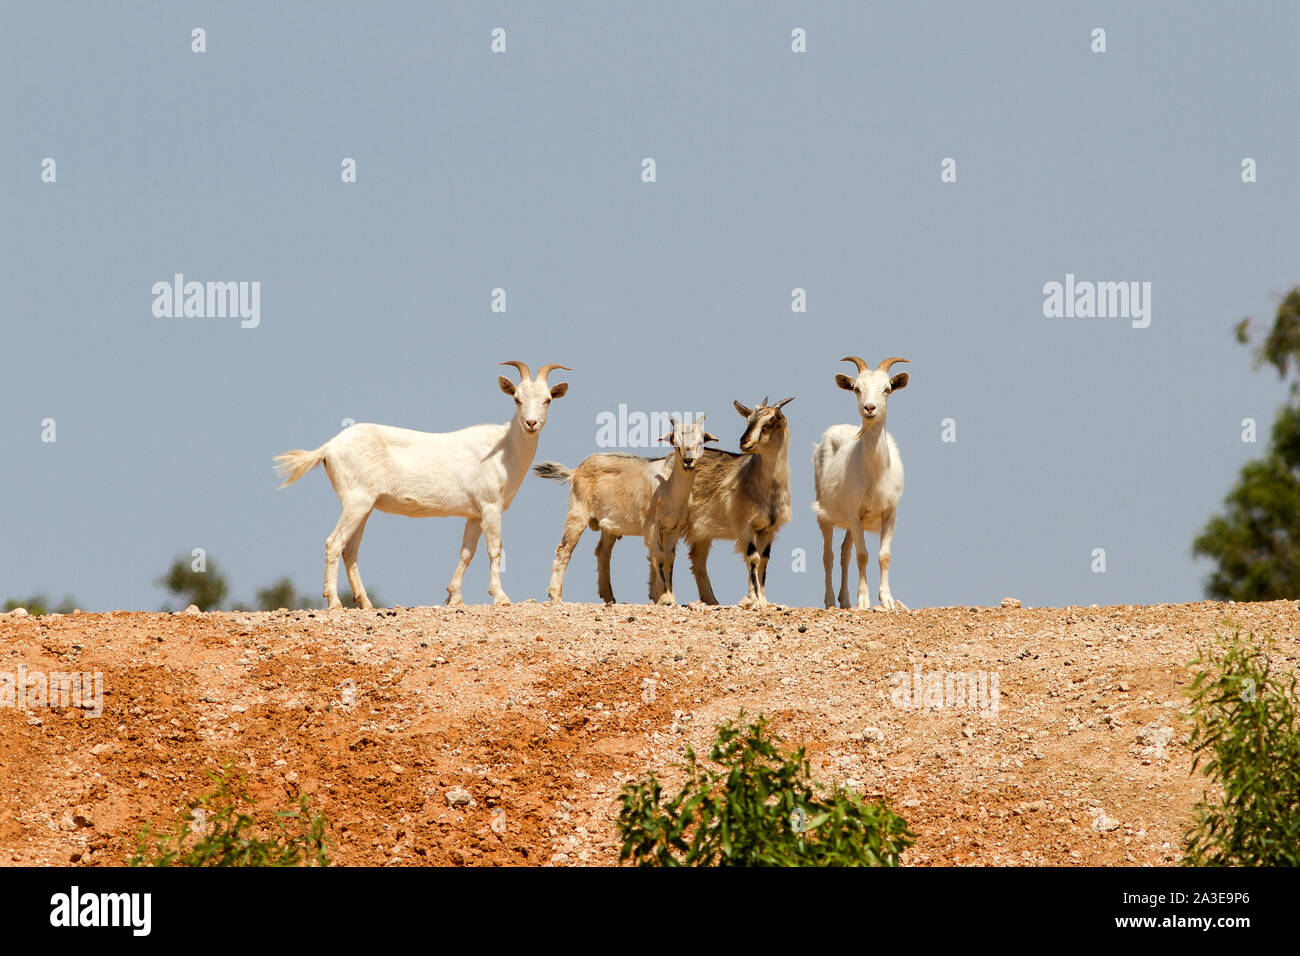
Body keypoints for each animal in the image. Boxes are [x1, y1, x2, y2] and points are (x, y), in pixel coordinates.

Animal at [274, 361, 570, 608]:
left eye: (547, 400)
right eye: (518, 399)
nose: (531, 423)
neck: (504, 447)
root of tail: (328, 448)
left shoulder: (474, 514)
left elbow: (466, 553)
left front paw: (454, 597)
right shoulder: (490, 507)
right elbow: (494, 550)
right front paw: (501, 597)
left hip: (363, 507)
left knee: (350, 549)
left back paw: (366, 603)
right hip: (356, 501)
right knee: (334, 543)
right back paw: (334, 602)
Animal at [536, 416, 718, 605]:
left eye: (700, 442)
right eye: (675, 442)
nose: (688, 461)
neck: (669, 486)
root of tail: (576, 471)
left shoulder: (673, 528)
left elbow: (669, 557)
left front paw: (668, 597)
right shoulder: (651, 524)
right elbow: (659, 555)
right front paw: (665, 598)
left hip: (608, 526)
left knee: (603, 552)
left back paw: (609, 597)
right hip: (578, 511)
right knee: (564, 549)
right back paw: (556, 596)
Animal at [684, 396, 794, 607]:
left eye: (769, 422)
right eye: (748, 420)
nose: (744, 442)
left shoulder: (768, 528)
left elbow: (764, 560)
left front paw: (764, 600)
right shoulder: (744, 525)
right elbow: (753, 558)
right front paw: (755, 600)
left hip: (700, 532)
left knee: (698, 561)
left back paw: (712, 600)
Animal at [812, 356, 909, 611]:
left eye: (887, 389)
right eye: (857, 388)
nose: (870, 408)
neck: (875, 474)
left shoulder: (889, 514)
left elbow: (883, 555)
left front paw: (887, 600)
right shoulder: (855, 513)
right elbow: (863, 554)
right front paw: (863, 600)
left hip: (849, 523)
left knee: (844, 553)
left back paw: (844, 600)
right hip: (826, 515)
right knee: (828, 556)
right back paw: (830, 601)